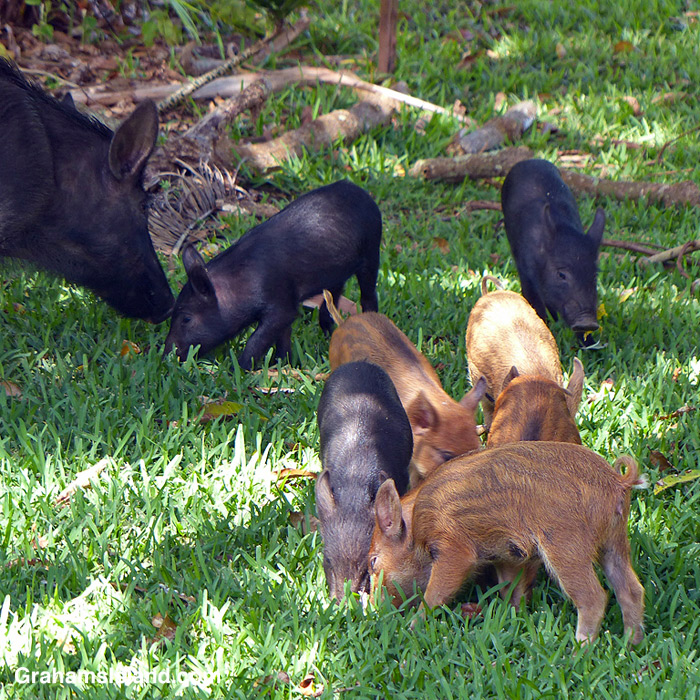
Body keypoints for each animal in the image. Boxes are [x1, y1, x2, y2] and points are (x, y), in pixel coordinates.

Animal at [163, 180, 381, 367]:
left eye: (186, 319)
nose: (166, 355)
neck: (241, 283)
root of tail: (361, 192)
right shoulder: (286, 305)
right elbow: (283, 336)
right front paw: (283, 363)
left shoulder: (281, 304)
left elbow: (258, 339)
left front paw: (238, 369)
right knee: (332, 298)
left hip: (372, 250)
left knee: (368, 294)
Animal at [369, 441, 646, 645]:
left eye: (373, 561)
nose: (371, 609)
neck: (417, 525)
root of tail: (617, 482)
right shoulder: (508, 557)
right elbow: (511, 591)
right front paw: (511, 618)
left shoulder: (454, 549)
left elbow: (434, 594)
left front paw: (412, 628)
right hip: (614, 542)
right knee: (631, 589)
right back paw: (630, 645)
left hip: (566, 546)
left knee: (594, 598)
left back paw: (578, 651)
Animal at [501, 158, 605, 333]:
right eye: (561, 275)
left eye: (595, 276)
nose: (588, 322)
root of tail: (531, 160)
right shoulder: (526, 270)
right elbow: (535, 305)